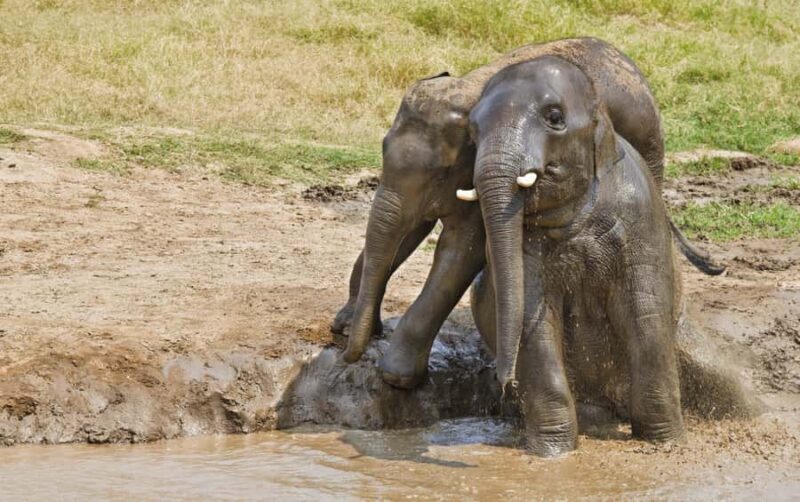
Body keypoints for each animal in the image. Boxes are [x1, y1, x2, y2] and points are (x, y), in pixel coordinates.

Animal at [334, 37, 723, 390]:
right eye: (382, 148)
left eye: (443, 171)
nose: (348, 355)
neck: (469, 83)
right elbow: (406, 230)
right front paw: (347, 327)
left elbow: (460, 251)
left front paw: (395, 377)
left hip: (649, 145)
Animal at [467, 55, 684, 456]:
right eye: (472, 131)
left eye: (555, 117)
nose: (504, 385)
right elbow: (533, 323)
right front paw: (553, 454)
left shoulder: (642, 220)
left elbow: (644, 314)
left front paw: (668, 445)